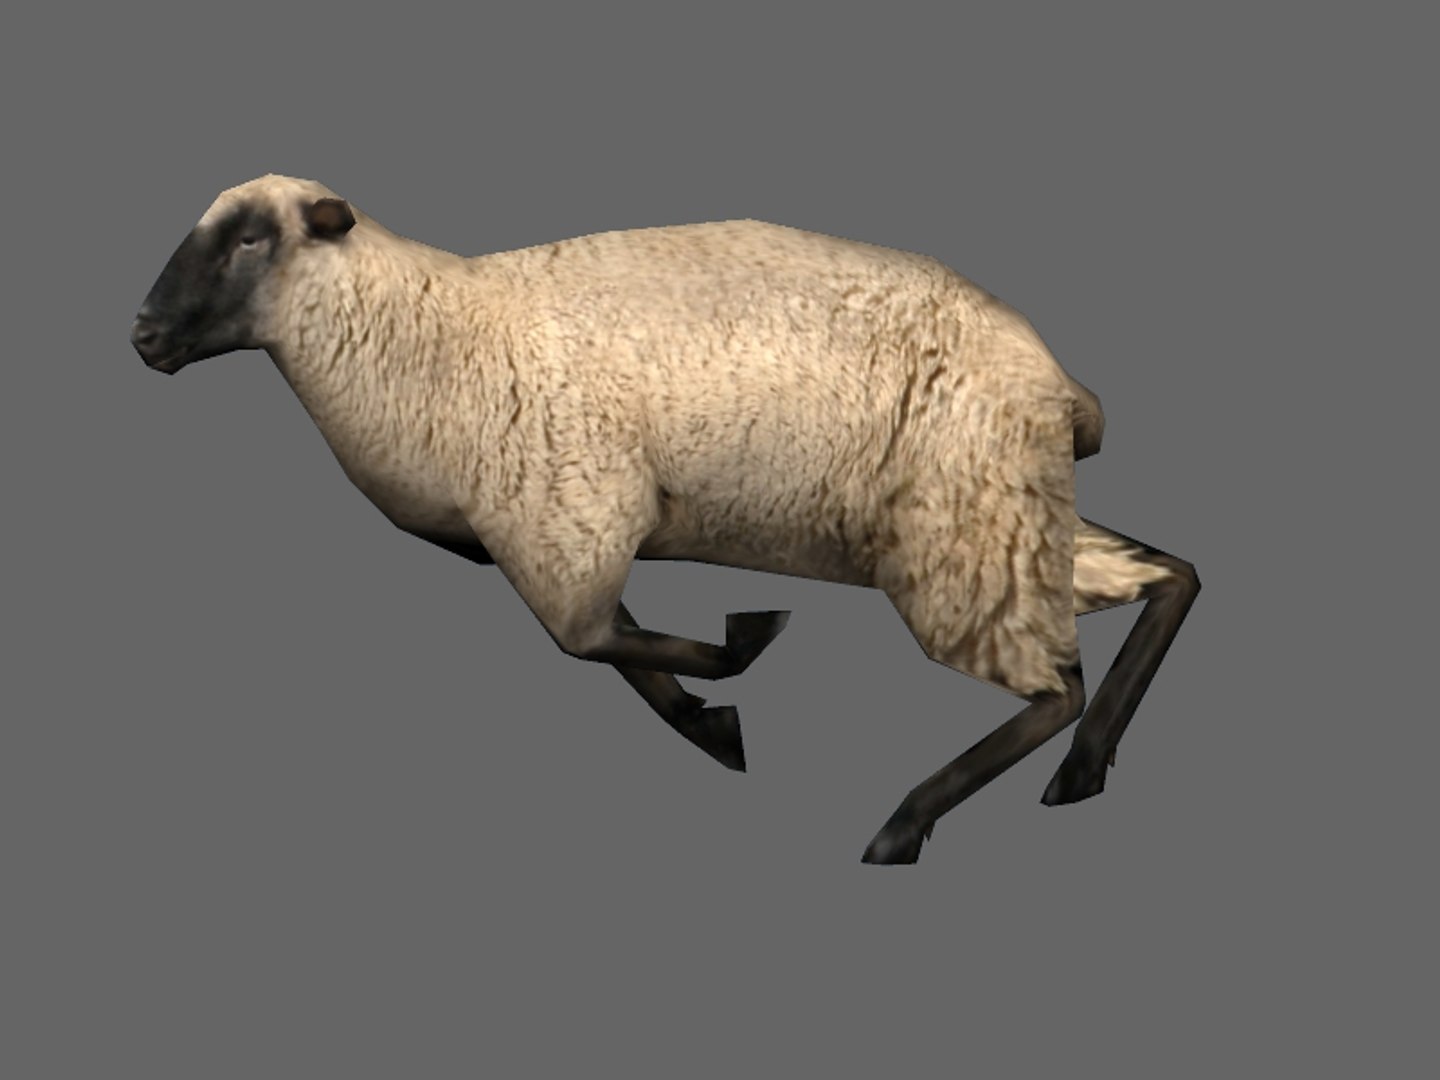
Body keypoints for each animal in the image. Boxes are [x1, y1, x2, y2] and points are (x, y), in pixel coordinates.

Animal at [130, 174, 1200, 865]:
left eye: (251, 239)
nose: (141, 335)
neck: (430, 333)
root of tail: (1062, 389)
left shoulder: (569, 514)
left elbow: (597, 643)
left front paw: (743, 649)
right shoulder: (557, 535)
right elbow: (626, 656)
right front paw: (714, 725)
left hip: (960, 536)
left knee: (1057, 684)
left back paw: (907, 824)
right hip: (1007, 524)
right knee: (1164, 580)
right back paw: (1085, 768)